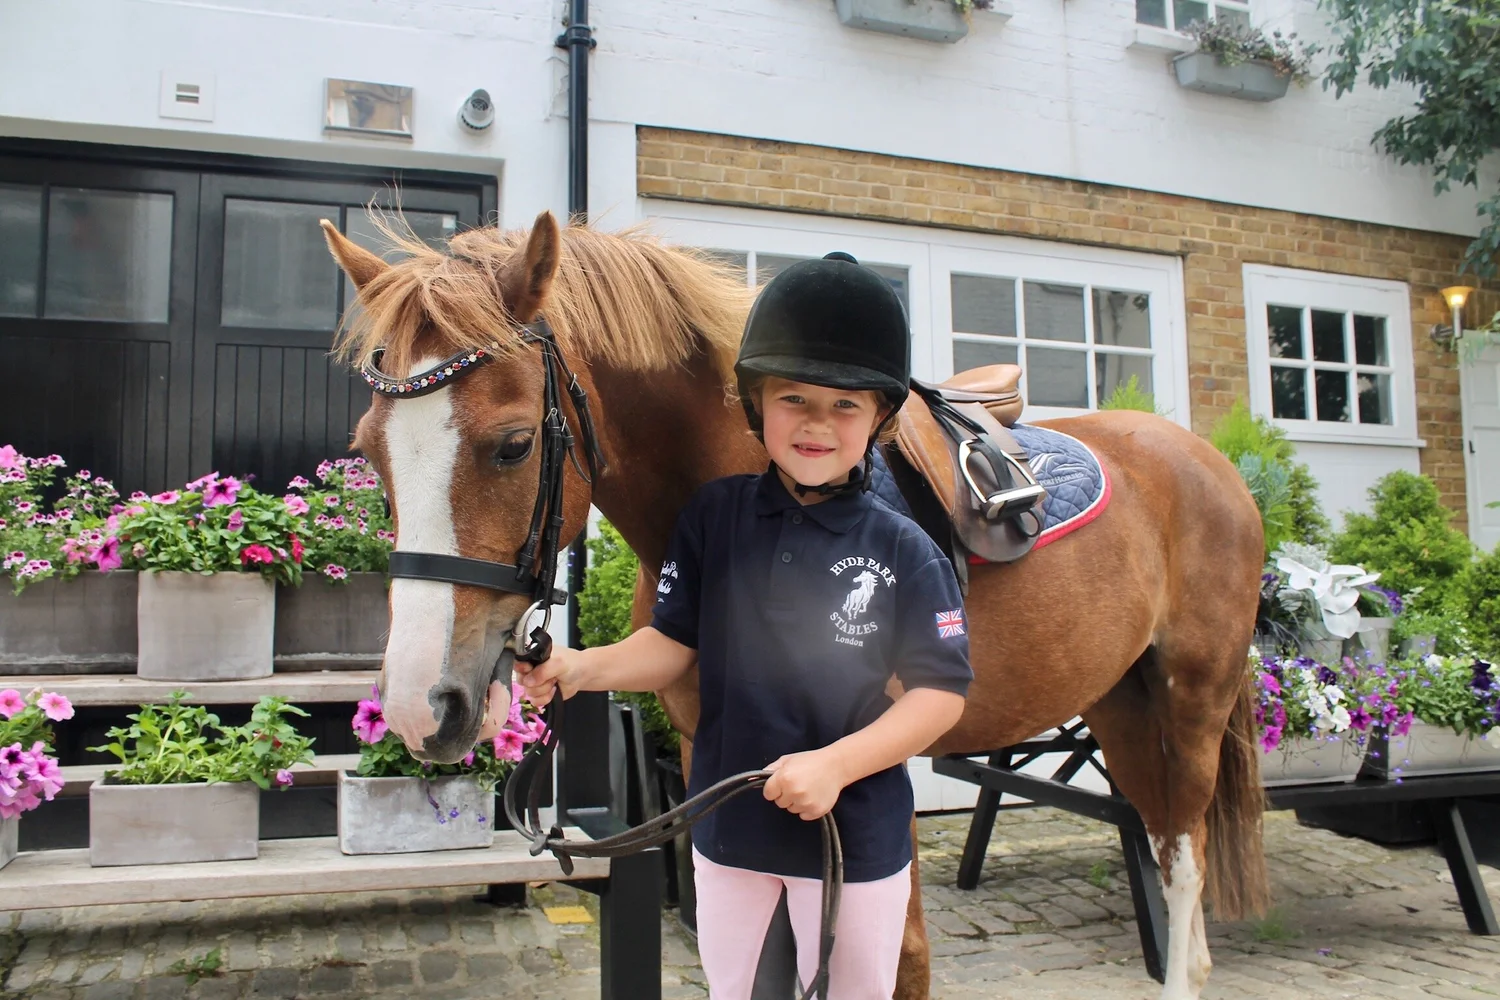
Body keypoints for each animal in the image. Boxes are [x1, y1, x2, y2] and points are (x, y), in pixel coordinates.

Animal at [322, 210, 1269, 1000]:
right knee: (1161, 834)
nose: (420, 706)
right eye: (368, 450)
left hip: (1192, 700)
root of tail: (1205, 462)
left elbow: (901, 961)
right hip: (1119, 702)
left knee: (1185, 856)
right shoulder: (715, 766)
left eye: (515, 444)